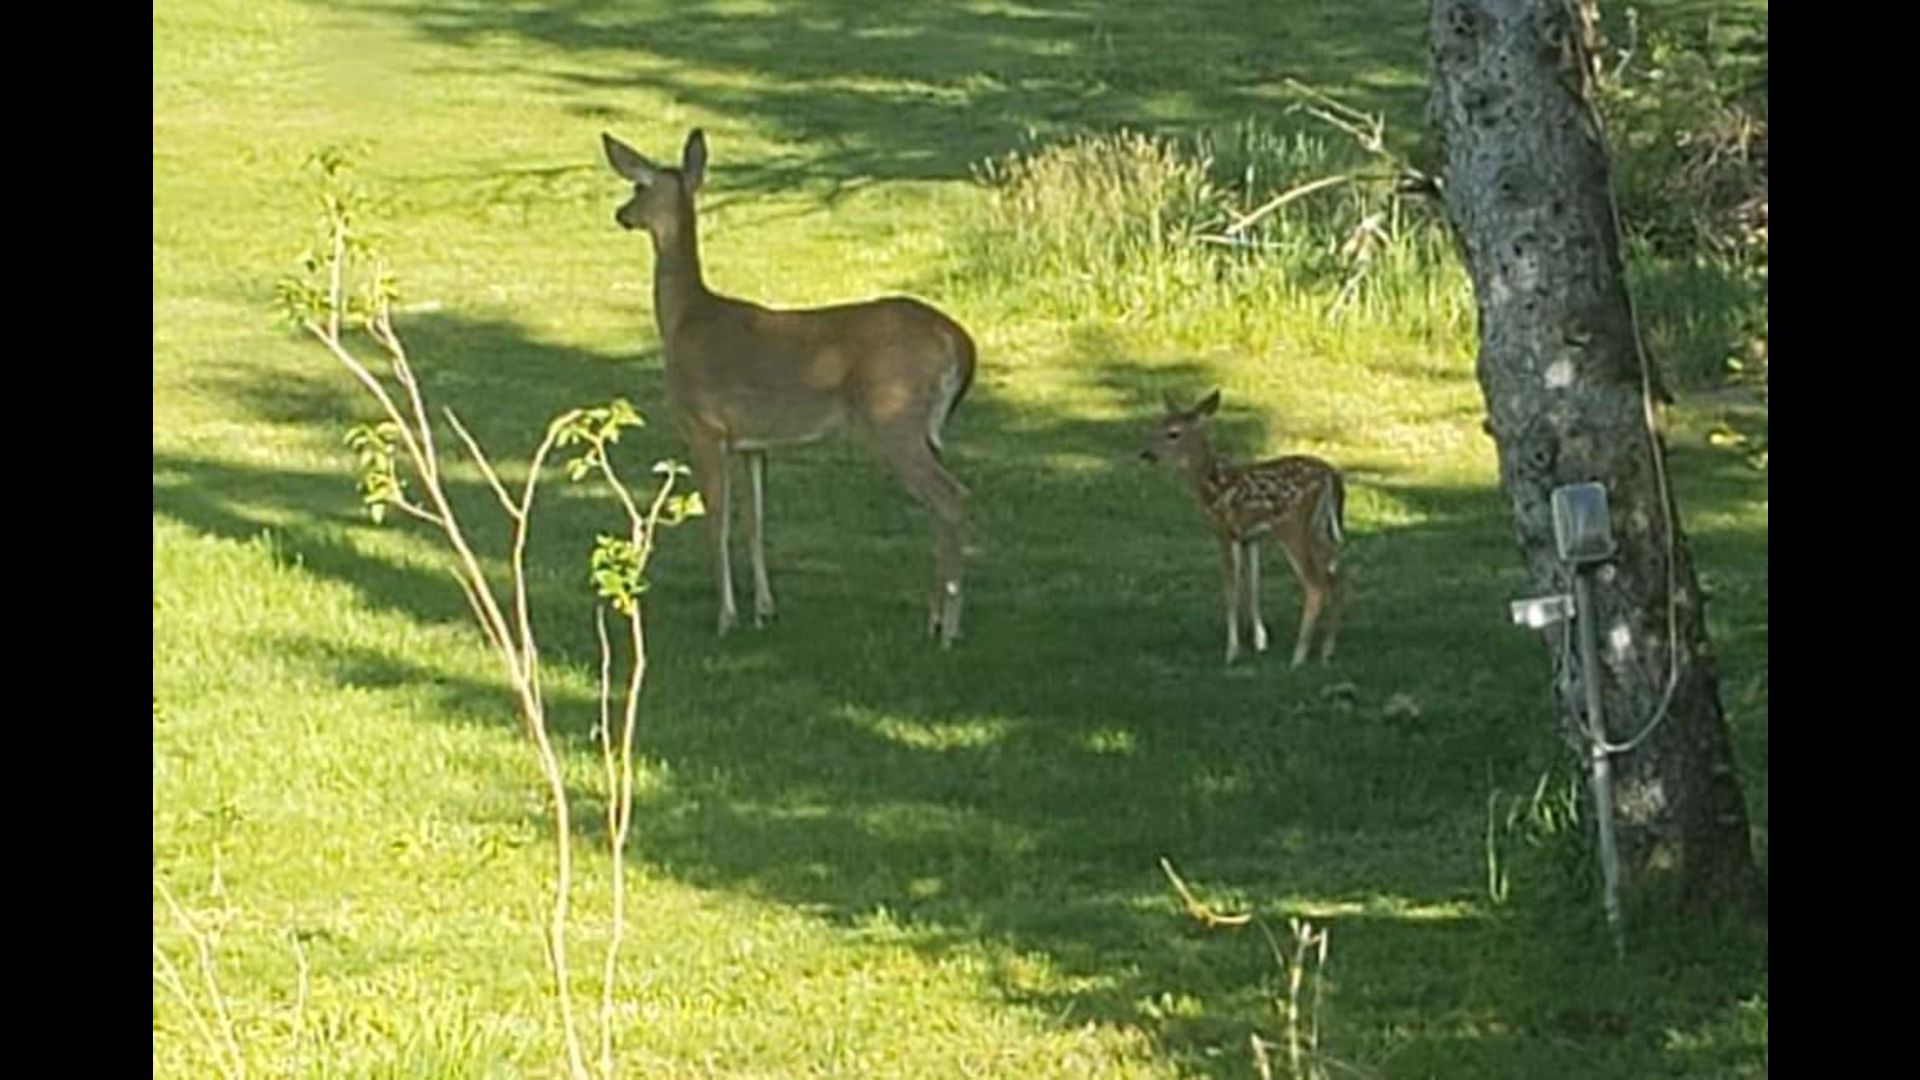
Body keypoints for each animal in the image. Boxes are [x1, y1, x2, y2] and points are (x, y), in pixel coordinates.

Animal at [601, 129, 977, 646]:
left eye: (638, 186)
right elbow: (756, 521)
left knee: (952, 499)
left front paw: (726, 618)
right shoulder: (752, 442)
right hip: (923, 428)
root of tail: (957, 340)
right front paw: (765, 609)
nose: (621, 214)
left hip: (893, 415)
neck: (686, 319)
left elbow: (716, 520)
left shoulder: (703, 426)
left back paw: (949, 629)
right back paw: (937, 617)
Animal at [1139, 390, 1347, 667]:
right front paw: (1260, 642)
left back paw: (1299, 656)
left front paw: (1232, 651)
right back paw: (1327, 650)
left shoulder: (1225, 532)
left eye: (1173, 433)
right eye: (1156, 426)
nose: (1146, 453)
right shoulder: (1251, 537)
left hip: (1293, 528)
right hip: (1322, 531)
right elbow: (1254, 584)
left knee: (1316, 585)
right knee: (1338, 578)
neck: (1211, 487)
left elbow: (1231, 588)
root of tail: (1332, 477)